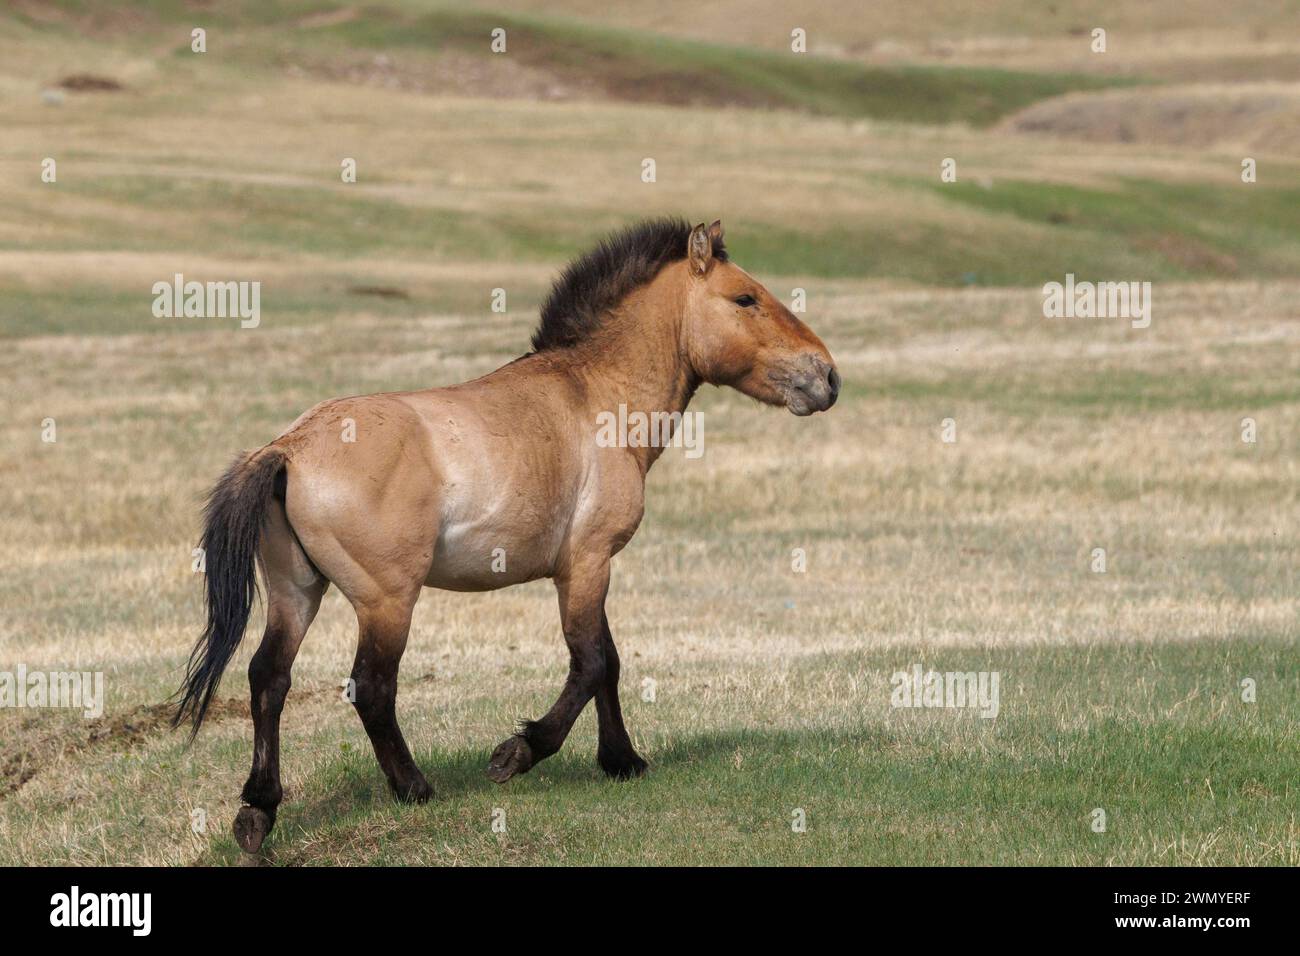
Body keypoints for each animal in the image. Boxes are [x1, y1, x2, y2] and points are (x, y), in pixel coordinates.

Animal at [173, 218, 840, 853]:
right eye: (746, 298)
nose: (828, 376)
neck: (596, 395)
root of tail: (287, 449)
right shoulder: (589, 562)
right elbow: (591, 663)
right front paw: (519, 753)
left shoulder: (584, 569)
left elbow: (608, 662)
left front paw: (622, 760)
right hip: (386, 600)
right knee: (372, 688)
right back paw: (414, 788)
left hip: (297, 593)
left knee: (269, 679)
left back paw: (258, 810)